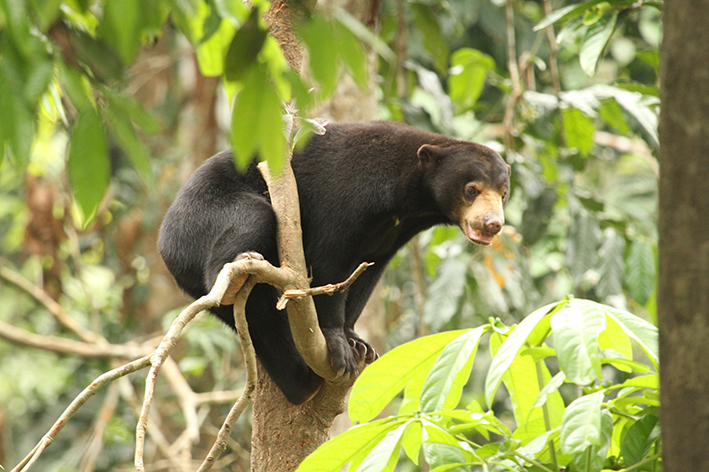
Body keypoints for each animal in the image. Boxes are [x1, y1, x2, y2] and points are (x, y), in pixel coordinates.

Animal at [158, 121, 510, 404]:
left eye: (503, 193)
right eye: (471, 189)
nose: (493, 223)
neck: (408, 201)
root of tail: (165, 247)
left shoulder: (392, 232)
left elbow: (366, 272)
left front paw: (359, 342)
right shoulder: (349, 194)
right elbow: (330, 259)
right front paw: (339, 344)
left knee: (259, 317)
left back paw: (301, 383)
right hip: (202, 217)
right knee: (253, 217)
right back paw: (235, 279)